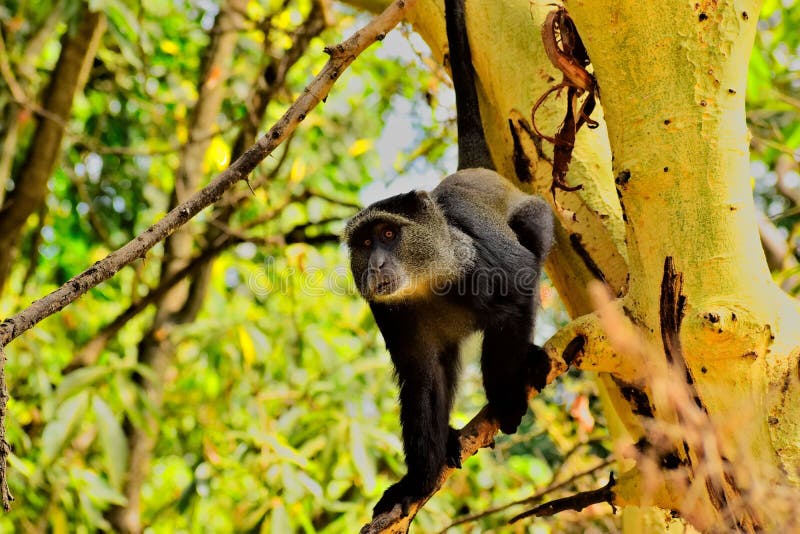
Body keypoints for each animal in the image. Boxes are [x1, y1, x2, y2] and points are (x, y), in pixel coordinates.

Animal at [343, 0, 554, 517]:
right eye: (363, 245)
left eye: (388, 233)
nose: (375, 266)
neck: (426, 278)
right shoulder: (391, 315)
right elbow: (423, 379)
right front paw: (415, 483)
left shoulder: (484, 270)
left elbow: (517, 299)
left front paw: (507, 401)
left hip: (531, 214)